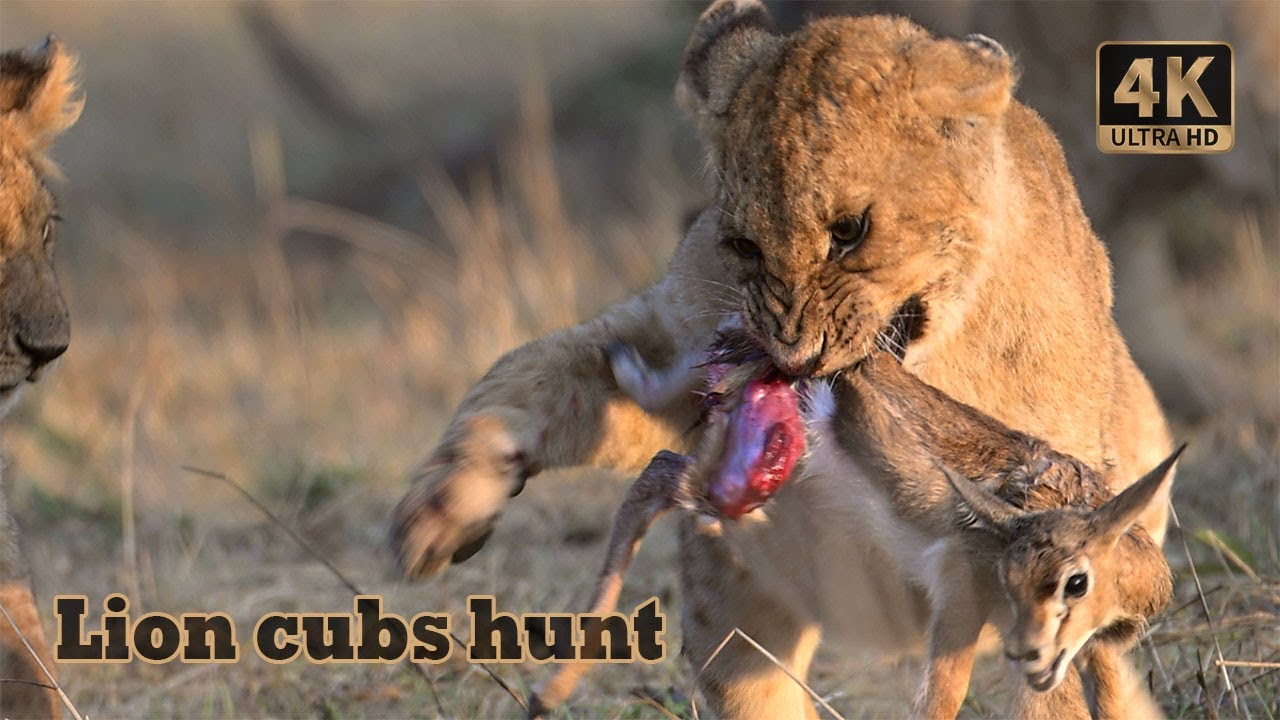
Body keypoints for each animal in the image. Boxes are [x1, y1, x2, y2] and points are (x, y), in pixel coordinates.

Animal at [392, 2, 1172, 716]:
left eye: (851, 230)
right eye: (744, 244)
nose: (792, 359)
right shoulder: (674, 344)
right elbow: (526, 379)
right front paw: (438, 512)